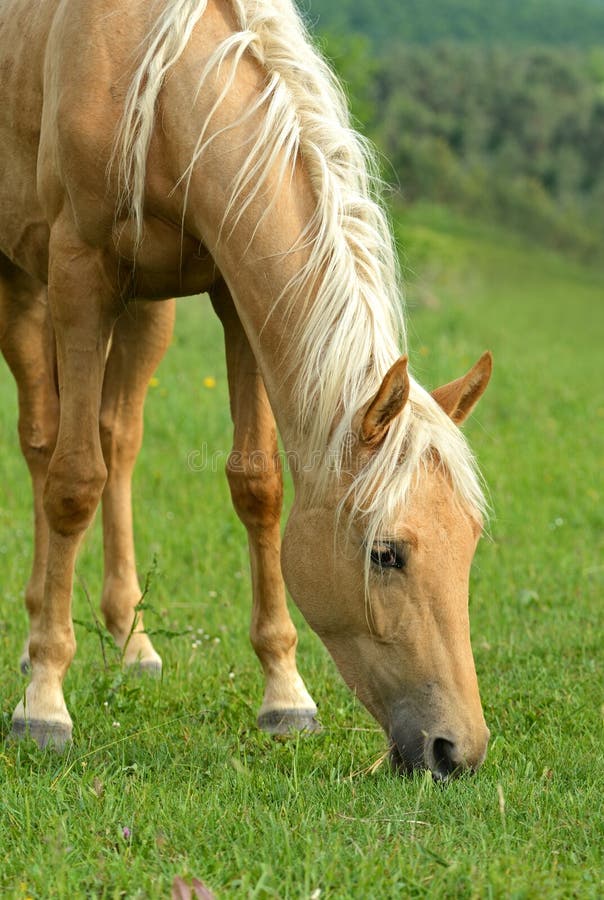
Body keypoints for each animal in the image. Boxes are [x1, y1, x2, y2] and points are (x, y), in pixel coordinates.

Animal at [0, 0, 493, 778]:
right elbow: (72, 483)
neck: (160, 78)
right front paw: (44, 702)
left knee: (118, 440)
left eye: (470, 542)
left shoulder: (234, 294)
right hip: (25, 286)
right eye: (387, 554)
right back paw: (34, 645)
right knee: (47, 444)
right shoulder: (77, 272)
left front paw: (286, 696)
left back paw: (132, 640)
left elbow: (256, 484)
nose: (457, 750)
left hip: (146, 311)